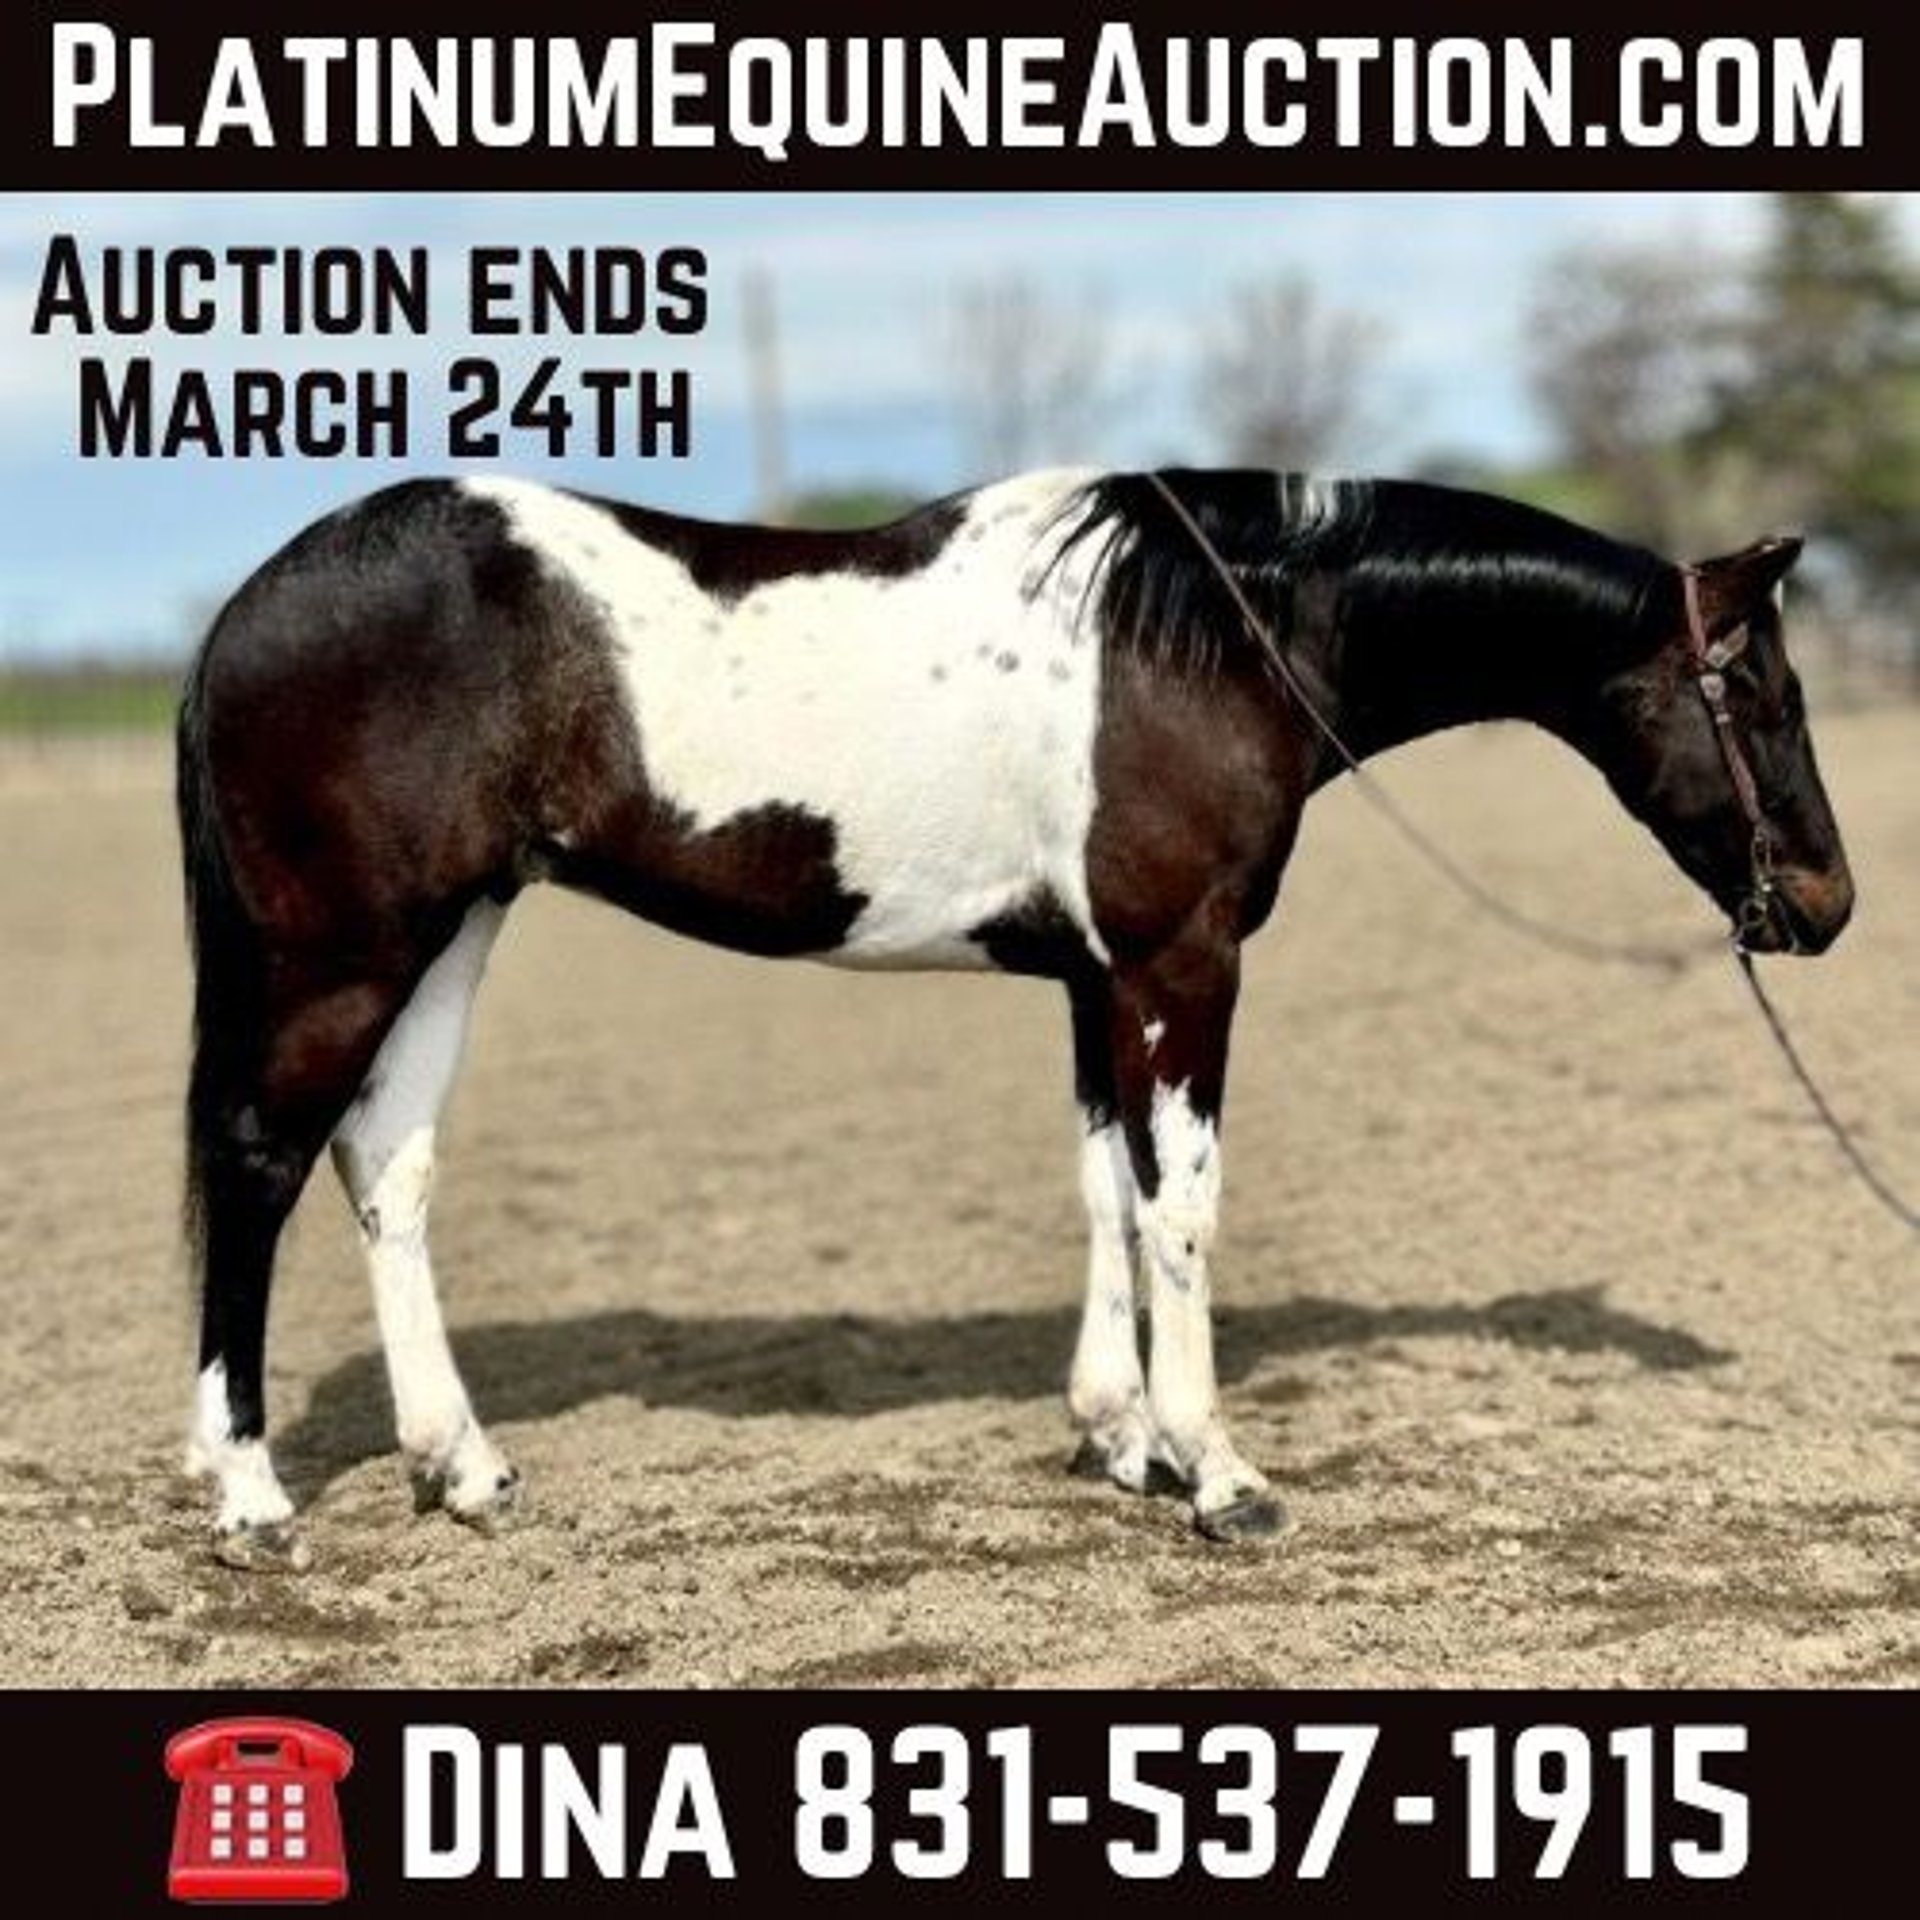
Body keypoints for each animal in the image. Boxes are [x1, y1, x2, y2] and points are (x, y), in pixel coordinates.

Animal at [174, 466, 1854, 1568]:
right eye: (1768, 696)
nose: (1826, 903)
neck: (1205, 635)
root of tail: (248, 605)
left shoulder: (1097, 978)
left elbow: (1108, 1191)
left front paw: (1121, 1436)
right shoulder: (1182, 967)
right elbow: (1183, 1206)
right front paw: (1219, 1473)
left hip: (452, 934)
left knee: (387, 1169)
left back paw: (463, 1469)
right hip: (348, 955)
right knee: (259, 1166)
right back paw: (251, 1501)